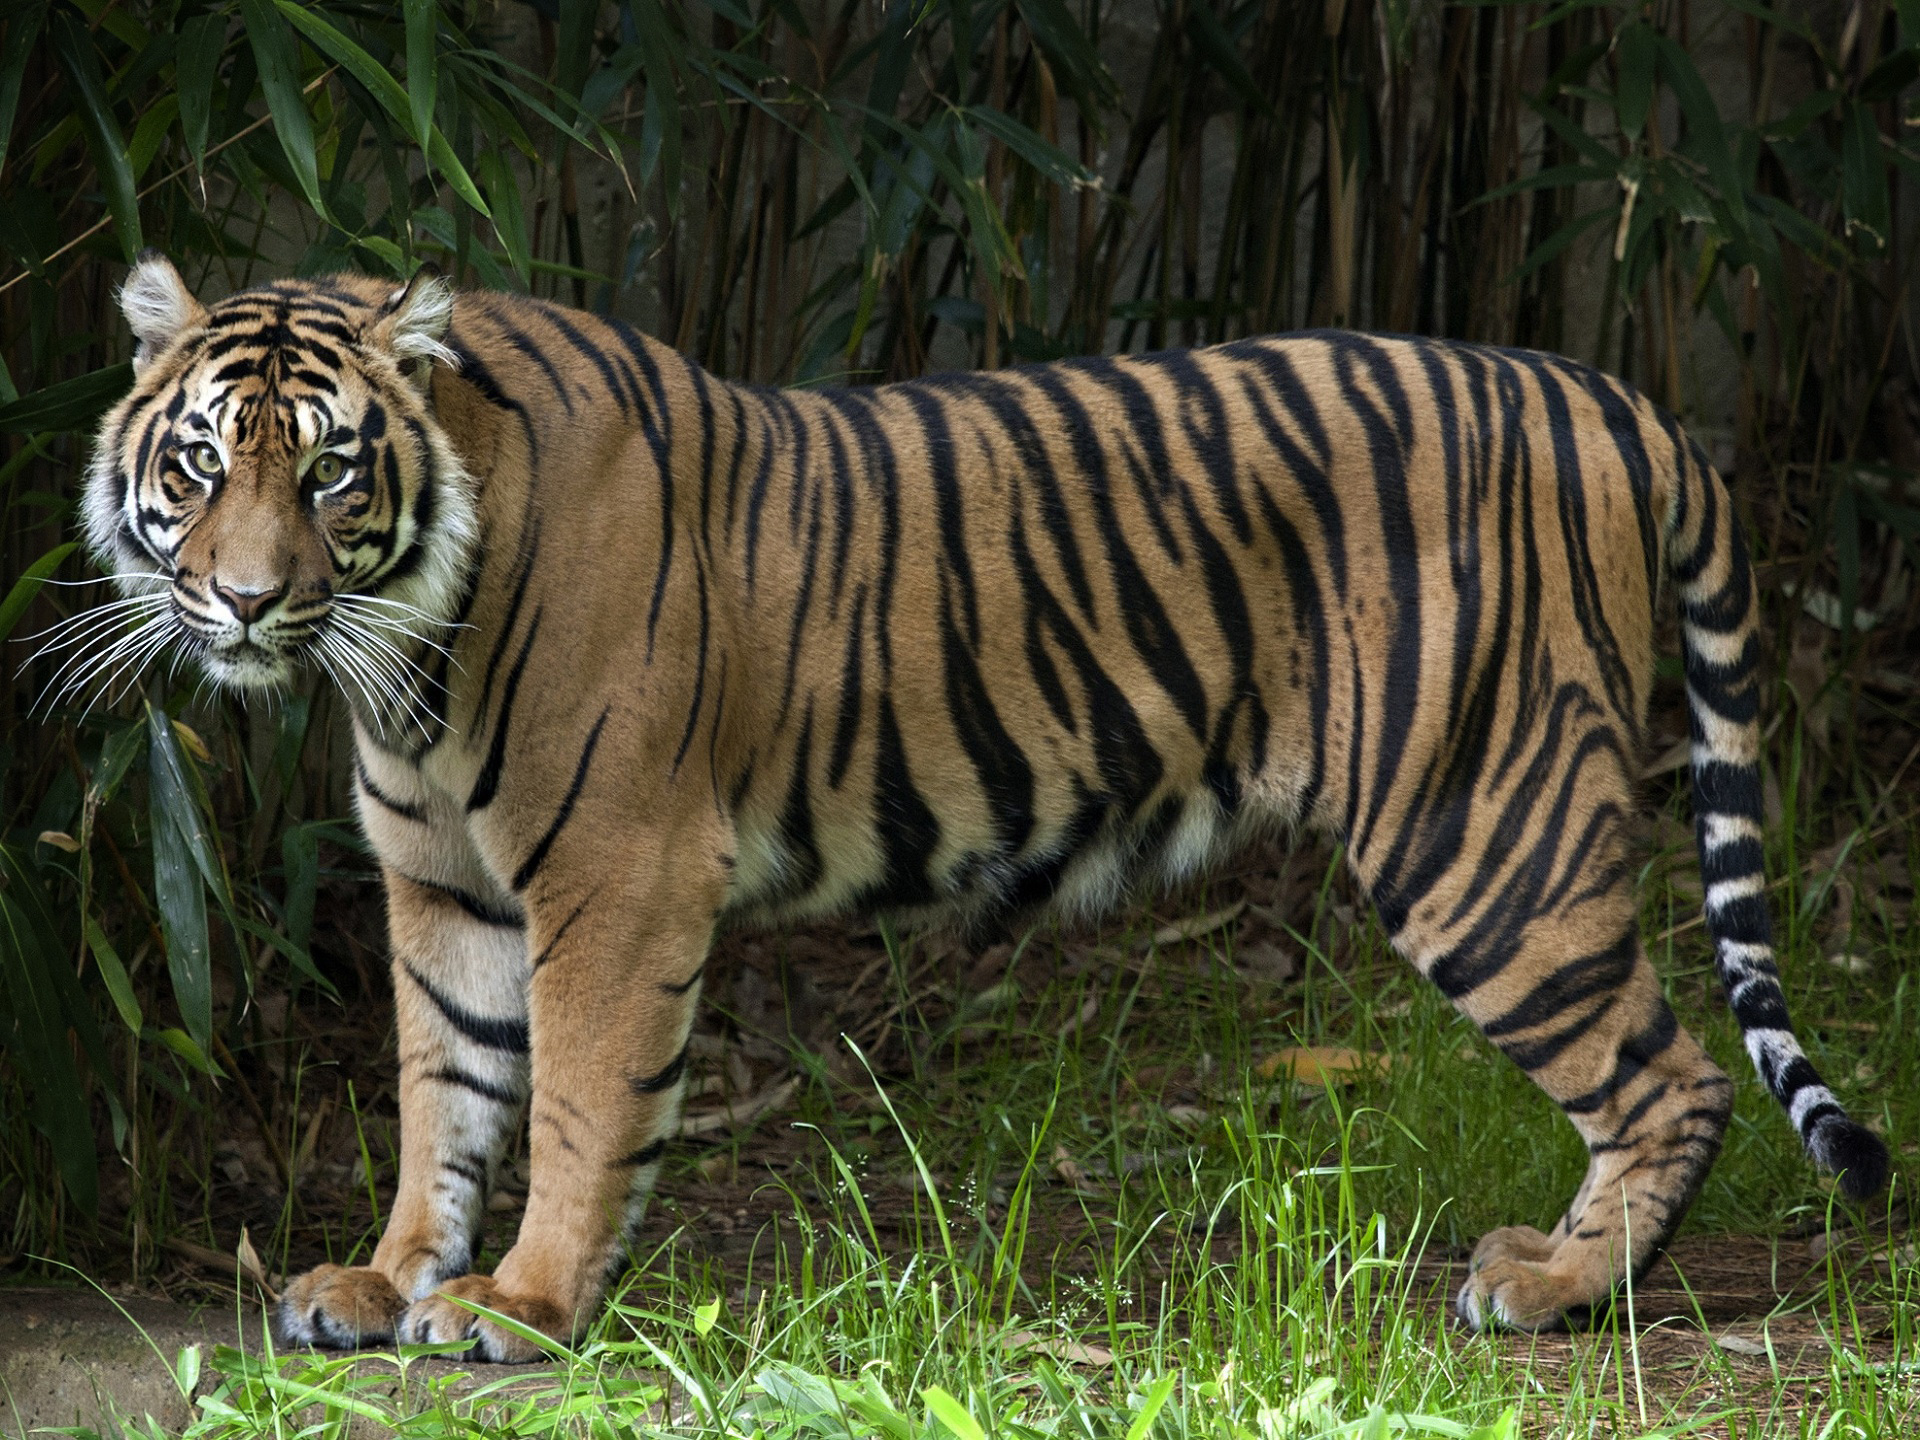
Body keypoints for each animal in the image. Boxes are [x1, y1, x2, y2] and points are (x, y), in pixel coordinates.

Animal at [79, 251, 1885, 1359]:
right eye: (201, 465)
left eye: (330, 470)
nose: (243, 601)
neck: (402, 651)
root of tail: (1608, 391)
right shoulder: (444, 886)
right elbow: (443, 1097)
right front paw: (388, 1281)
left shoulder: (615, 877)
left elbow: (580, 1104)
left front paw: (519, 1307)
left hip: (1482, 828)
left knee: (1672, 1080)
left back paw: (1558, 1285)